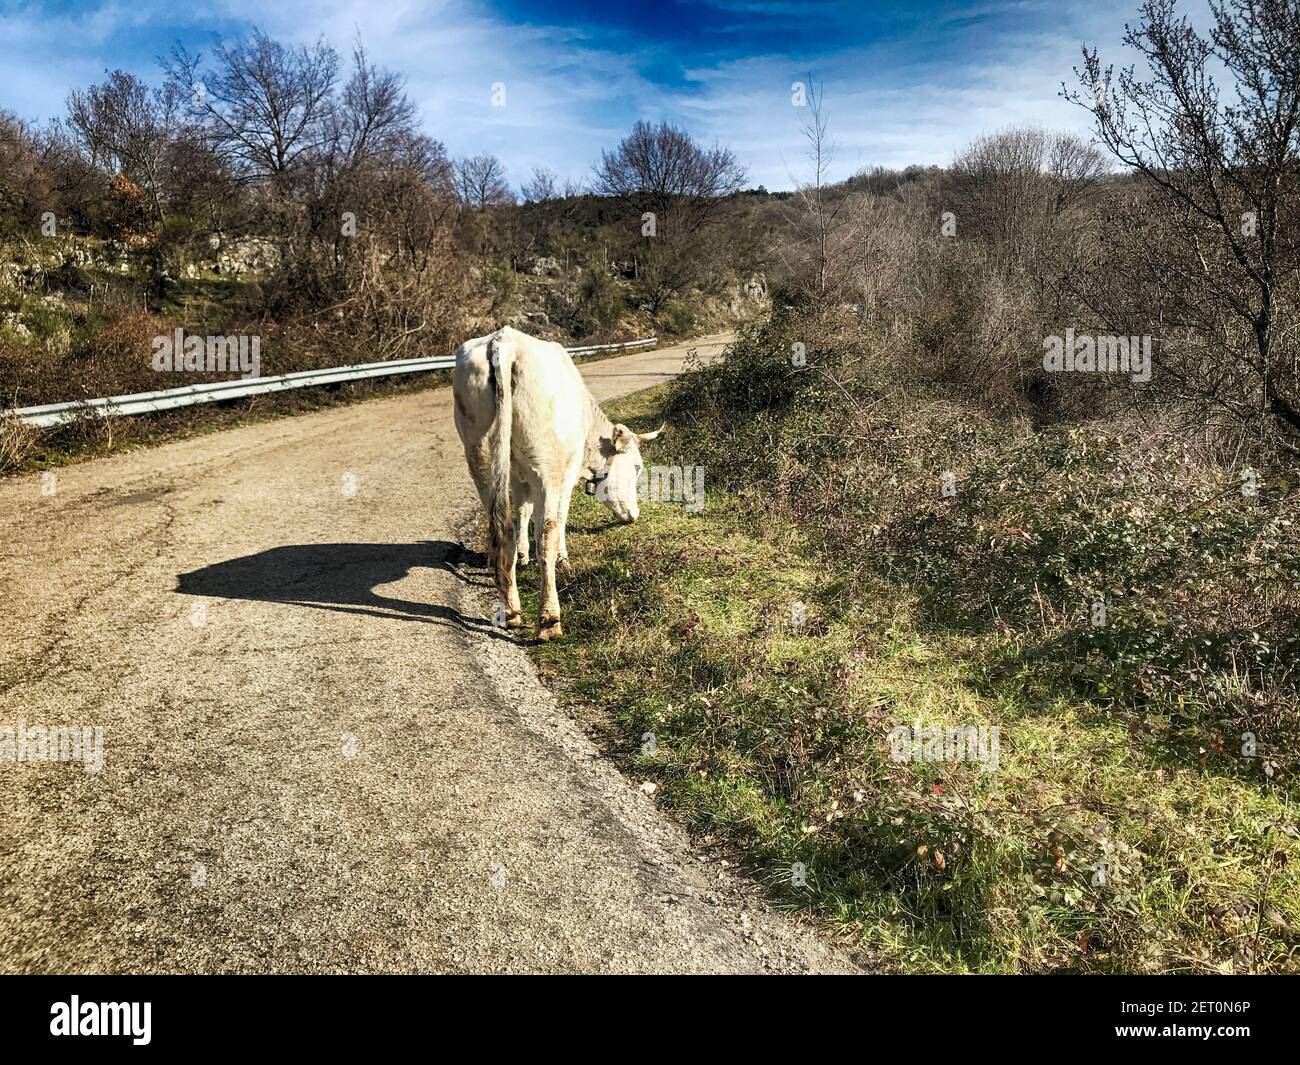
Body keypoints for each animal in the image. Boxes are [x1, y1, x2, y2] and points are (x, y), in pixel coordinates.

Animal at [452, 326, 662, 640]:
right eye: (637, 468)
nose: (633, 515)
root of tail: (504, 342)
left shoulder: (517, 476)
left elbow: (522, 511)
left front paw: (523, 556)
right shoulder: (568, 469)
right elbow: (560, 516)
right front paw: (562, 558)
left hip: (480, 456)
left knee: (502, 528)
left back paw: (511, 609)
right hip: (546, 467)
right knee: (546, 531)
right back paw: (549, 620)